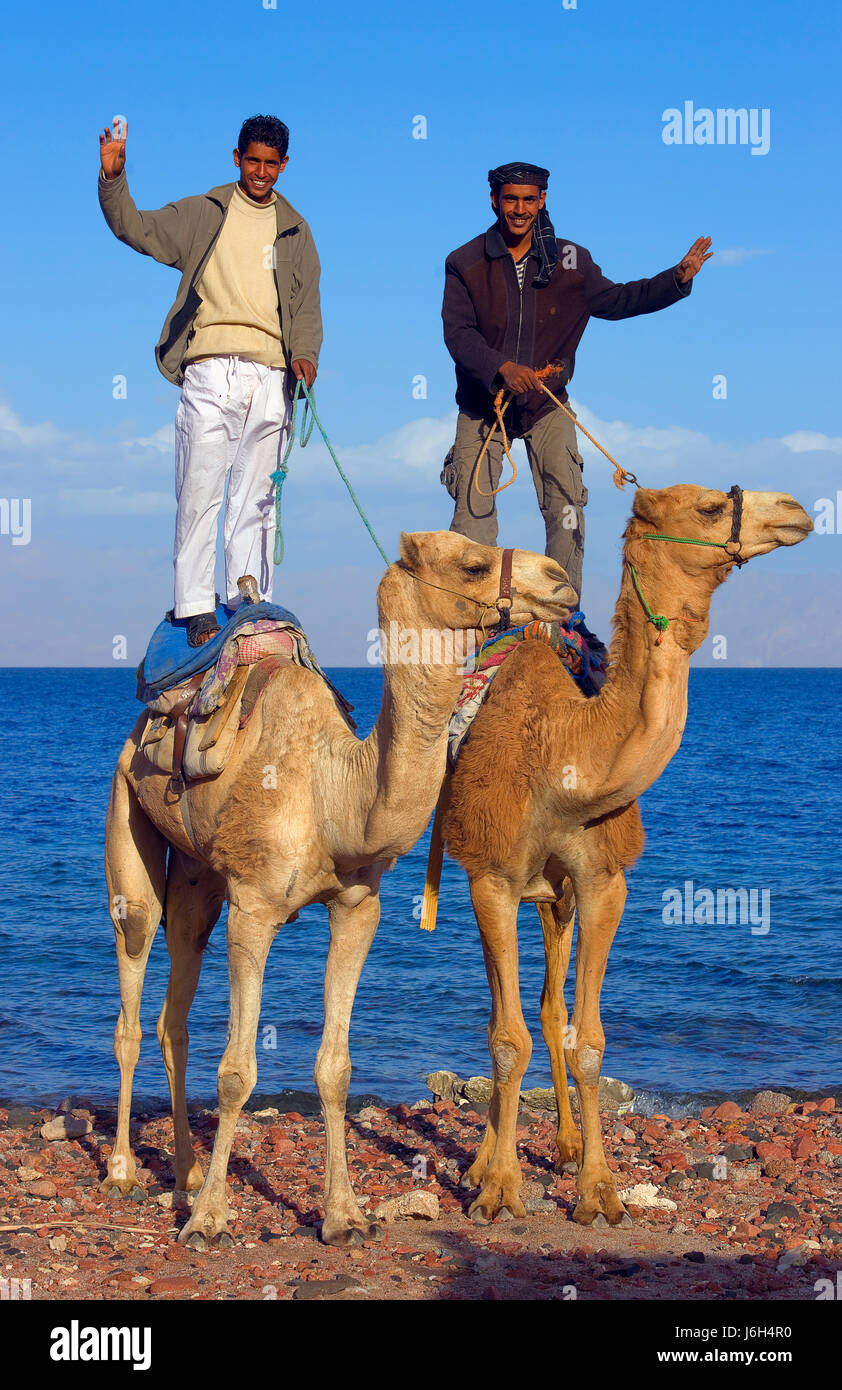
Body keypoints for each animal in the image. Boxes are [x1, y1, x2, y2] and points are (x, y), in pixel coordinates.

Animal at [102, 530, 576, 1249]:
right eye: (471, 562)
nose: (560, 581)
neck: (334, 796)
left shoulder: (358, 908)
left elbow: (336, 1067)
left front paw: (344, 1217)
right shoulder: (254, 907)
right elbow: (237, 1072)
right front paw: (210, 1222)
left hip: (199, 875)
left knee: (173, 1007)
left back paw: (183, 1173)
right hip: (127, 808)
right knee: (133, 975)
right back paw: (127, 1171)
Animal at [440, 484, 812, 1228]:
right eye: (706, 507)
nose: (794, 508)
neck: (564, 754)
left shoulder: (603, 882)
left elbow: (587, 1040)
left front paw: (598, 1191)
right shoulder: (491, 877)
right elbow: (505, 1040)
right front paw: (497, 1189)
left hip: (556, 899)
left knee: (549, 1009)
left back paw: (561, 1145)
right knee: (507, 1019)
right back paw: (484, 1162)